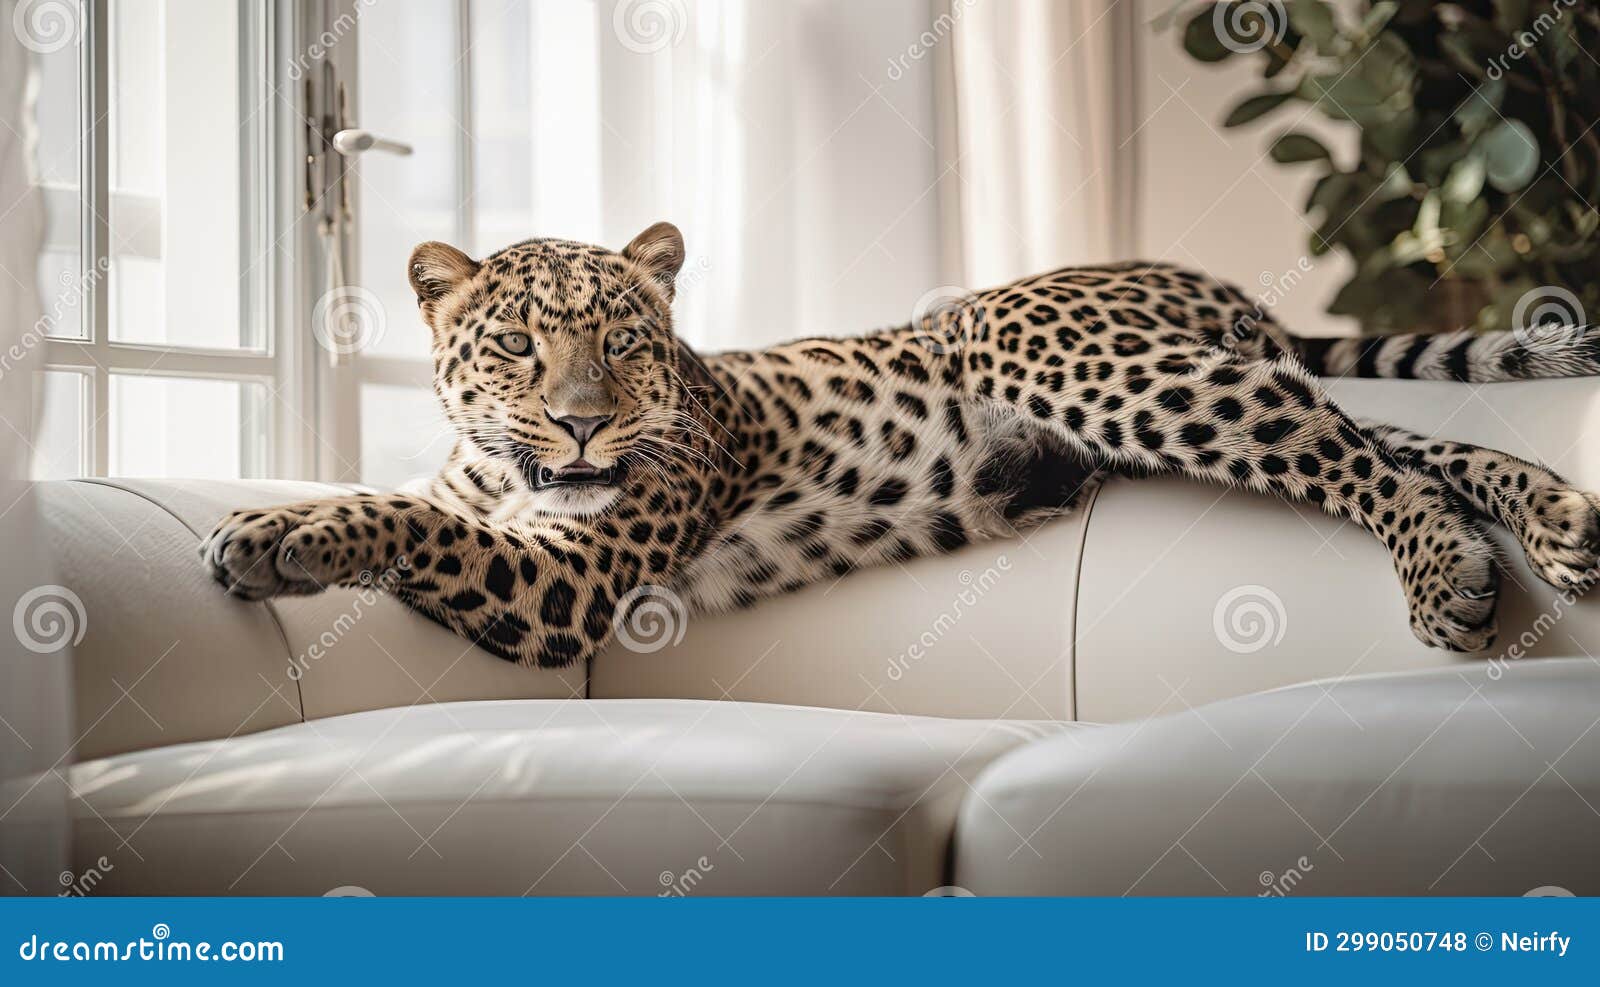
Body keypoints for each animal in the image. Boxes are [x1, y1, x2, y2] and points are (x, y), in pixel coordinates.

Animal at [202, 221, 1600, 666]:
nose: (583, 419)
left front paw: (276, 534)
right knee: (1406, 440)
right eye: (516, 346)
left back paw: (1448, 571)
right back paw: (1556, 529)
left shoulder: (571, 581)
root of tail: (1199, 277)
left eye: (623, 341)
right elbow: (423, 500)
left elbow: (412, 519)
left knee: (1366, 458)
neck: (504, 468)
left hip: (1059, 351)